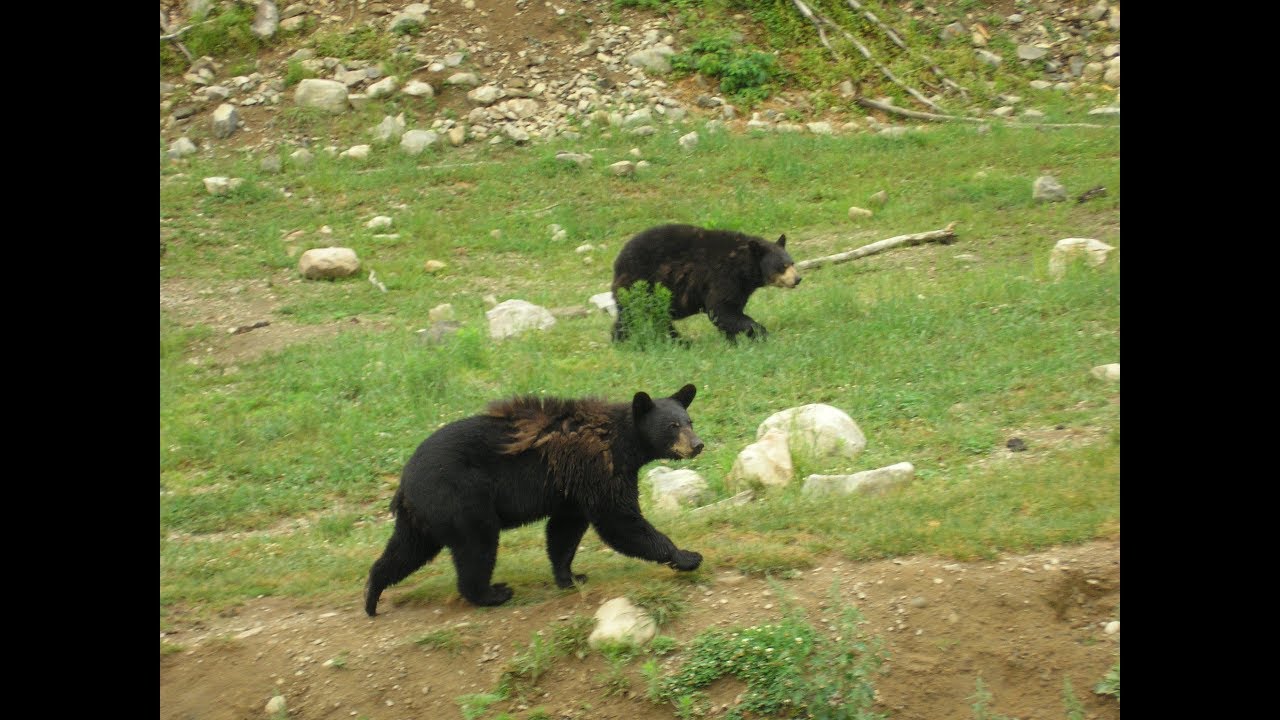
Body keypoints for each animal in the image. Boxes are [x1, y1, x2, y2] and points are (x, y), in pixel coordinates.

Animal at [364, 384, 705, 613]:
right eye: (672, 426)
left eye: (689, 421)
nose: (697, 444)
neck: (621, 440)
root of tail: (405, 481)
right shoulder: (598, 469)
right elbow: (620, 521)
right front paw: (687, 556)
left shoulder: (573, 488)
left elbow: (564, 531)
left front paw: (571, 576)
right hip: (460, 497)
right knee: (476, 545)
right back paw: (492, 594)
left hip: (424, 514)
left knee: (407, 549)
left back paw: (372, 594)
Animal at [610, 223, 801, 343]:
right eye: (782, 266)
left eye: (792, 262)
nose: (798, 279)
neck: (742, 265)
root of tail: (617, 262)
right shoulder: (722, 276)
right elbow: (721, 310)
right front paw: (761, 334)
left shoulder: (740, 287)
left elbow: (730, 312)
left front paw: (734, 340)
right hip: (641, 283)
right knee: (635, 314)